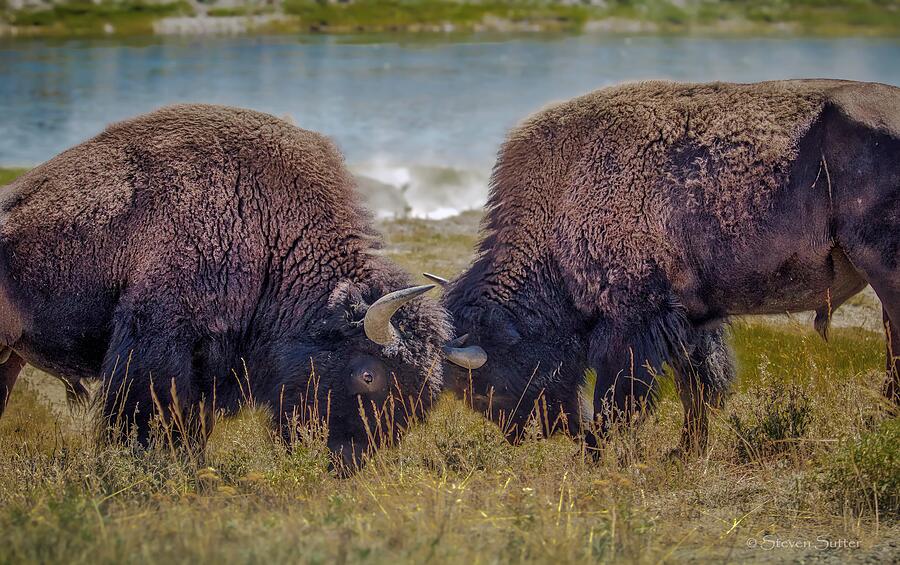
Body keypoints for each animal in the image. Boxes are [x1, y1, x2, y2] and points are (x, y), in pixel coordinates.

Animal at [0, 104, 478, 467]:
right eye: (368, 374)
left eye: (424, 397)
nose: (349, 461)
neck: (270, 229)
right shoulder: (157, 343)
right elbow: (147, 412)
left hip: (12, 357)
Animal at [433, 79, 900, 453]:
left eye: (485, 390)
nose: (527, 433)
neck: (561, 199)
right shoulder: (690, 319)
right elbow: (698, 387)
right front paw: (687, 452)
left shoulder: (632, 323)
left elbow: (619, 400)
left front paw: (600, 452)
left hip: (885, 272)